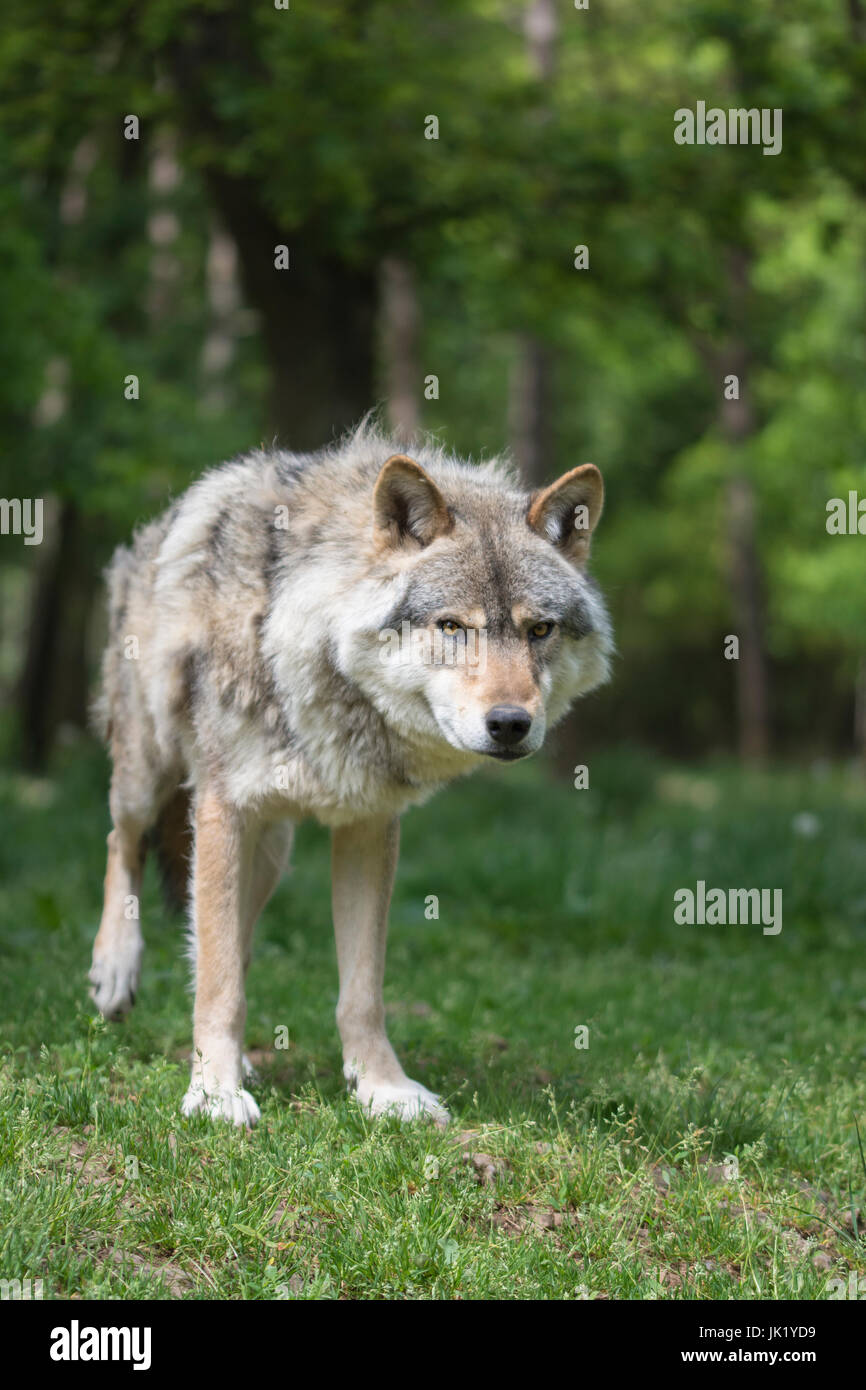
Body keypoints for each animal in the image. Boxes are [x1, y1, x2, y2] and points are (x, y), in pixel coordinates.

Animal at [90, 421, 612, 1126]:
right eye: (452, 626)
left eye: (540, 630)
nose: (510, 723)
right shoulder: (223, 807)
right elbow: (219, 983)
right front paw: (214, 1093)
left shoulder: (368, 825)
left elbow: (359, 990)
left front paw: (382, 1089)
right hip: (152, 778)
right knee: (122, 843)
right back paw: (116, 971)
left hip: (268, 853)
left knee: (237, 938)